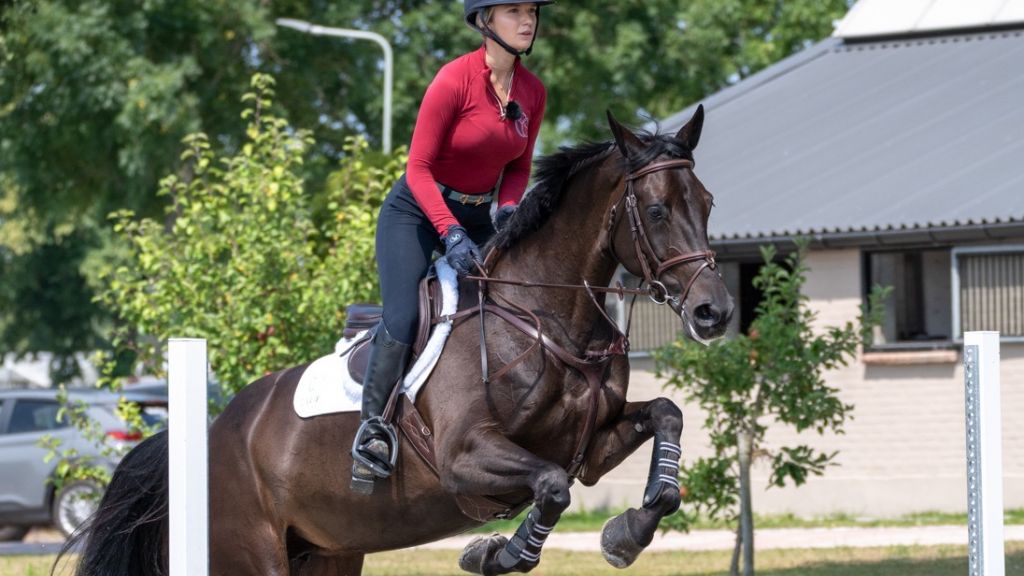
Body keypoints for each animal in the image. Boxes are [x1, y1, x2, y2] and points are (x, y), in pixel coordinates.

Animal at [61, 106, 732, 576]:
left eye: (706, 203)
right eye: (656, 211)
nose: (714, 312)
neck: (544, 314)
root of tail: (210, 434)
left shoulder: (588, 447)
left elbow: (665, 417)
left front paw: (627, 534)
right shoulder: (465, 459)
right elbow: (550, 487)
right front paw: (495, 552)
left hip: (326, 554)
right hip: (251, 555)